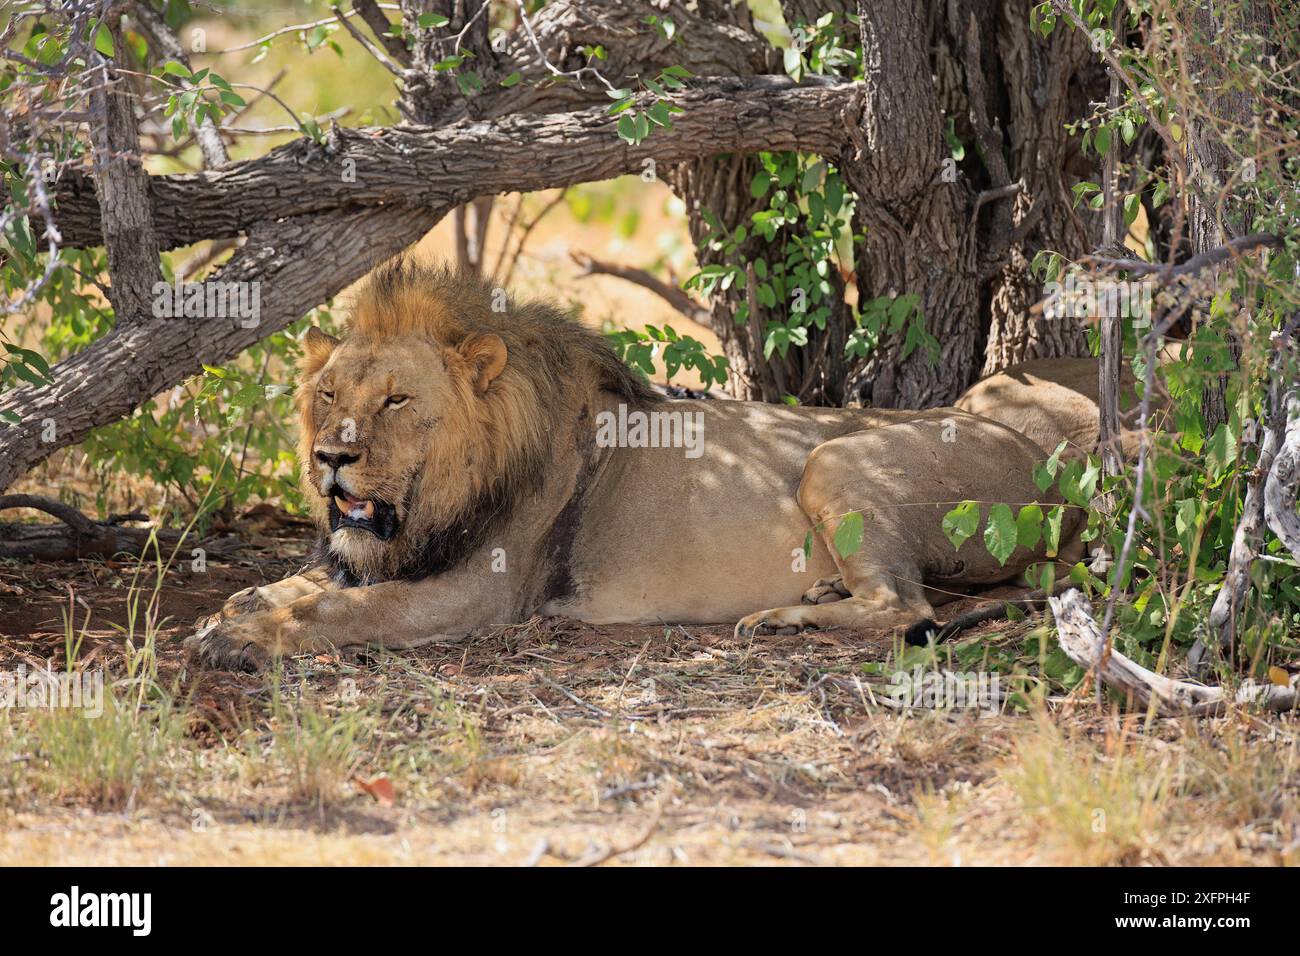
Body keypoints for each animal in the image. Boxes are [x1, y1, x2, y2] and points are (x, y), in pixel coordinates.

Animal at [186, 259, 1094, 671]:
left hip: (835, 456)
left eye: (398, 402)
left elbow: (335, 611)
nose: (329, 457)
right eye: (327, 392)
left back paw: (785, 618)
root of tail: (1049, 466)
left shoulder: (475, 593)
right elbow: (293, 584)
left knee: (905, 606)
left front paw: (241, 636)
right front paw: (232, 610)